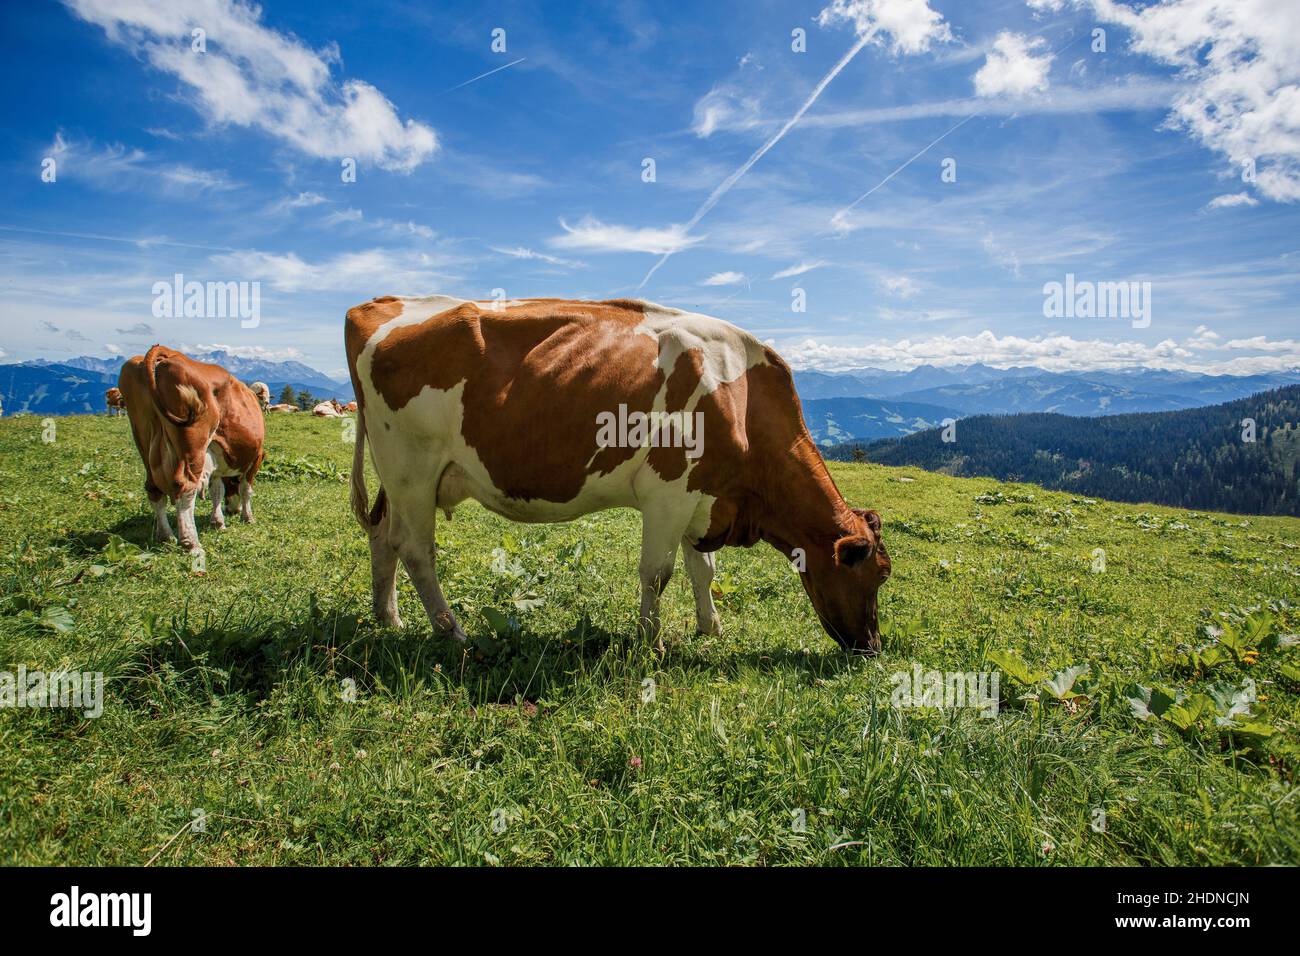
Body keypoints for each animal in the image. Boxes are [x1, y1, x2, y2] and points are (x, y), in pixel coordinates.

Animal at [118, 345, 266, 554]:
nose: (231, 511)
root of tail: (166, 352)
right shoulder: (257, 457)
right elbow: (245, 488)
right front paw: (247, 517)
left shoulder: (216, 465)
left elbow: (216, 490)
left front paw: (218, 522)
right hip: (193, 443)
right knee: (186, 487)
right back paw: (191, 543)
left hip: (143, 437)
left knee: (154, 489)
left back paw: (166, 536)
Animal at [345, 296, 891, 654]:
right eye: (878, 575)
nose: (871, 646)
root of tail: (379, 304)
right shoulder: (669, 492)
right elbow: (658, 572)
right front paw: (651, 641)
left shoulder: (701, 494)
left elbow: (703, 570)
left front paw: (710, 627)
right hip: (412, 467)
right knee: (416, 550)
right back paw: (451, 632)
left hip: (401, 477)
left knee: (383, 536)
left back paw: (387, 618)